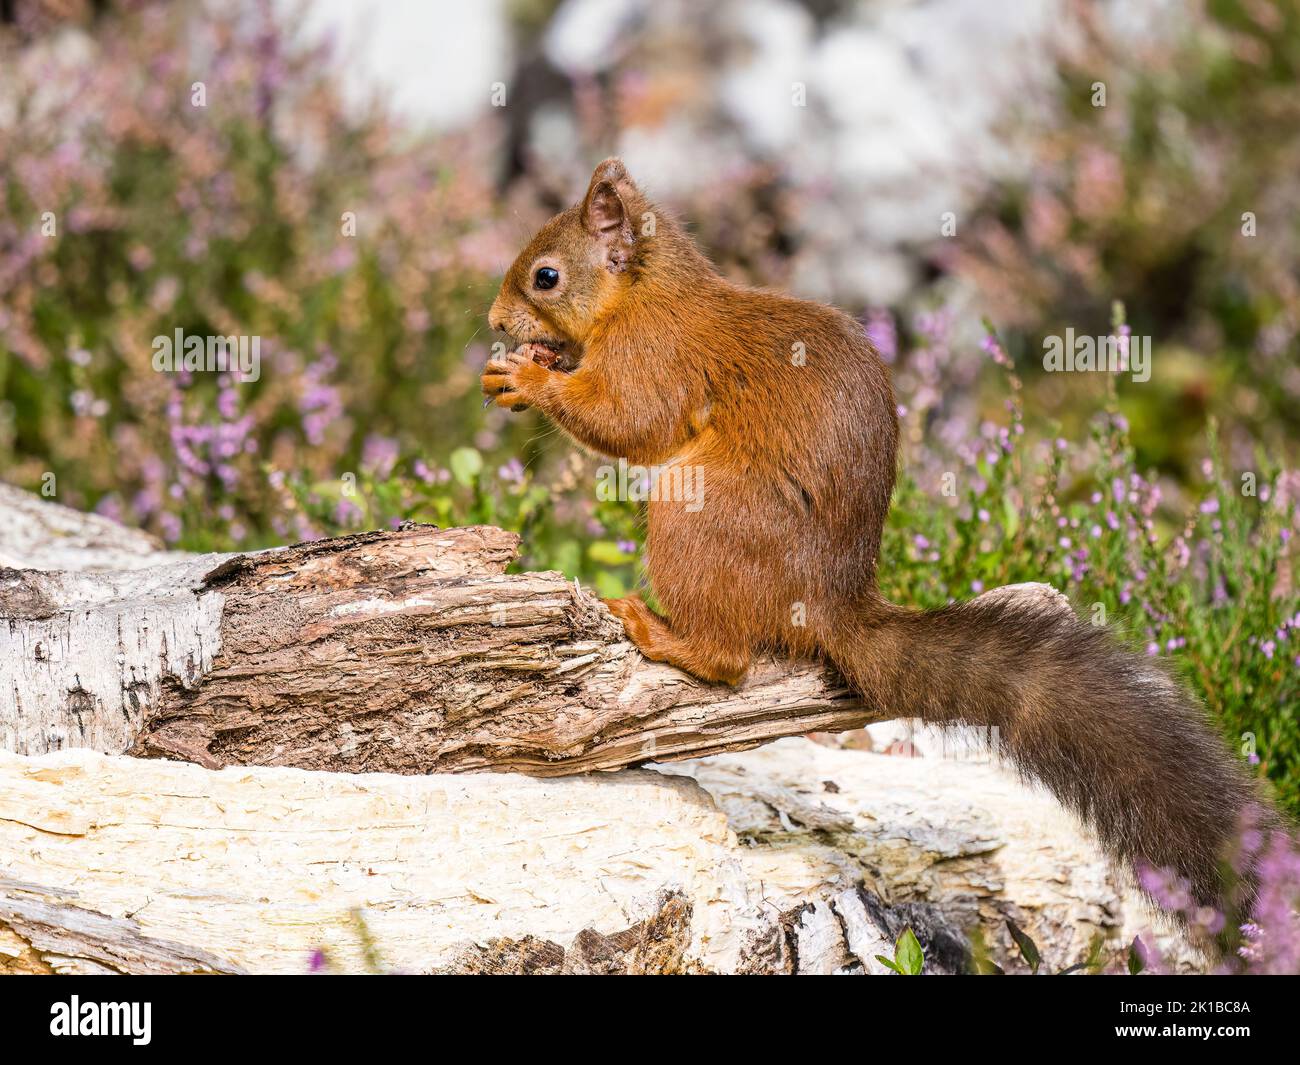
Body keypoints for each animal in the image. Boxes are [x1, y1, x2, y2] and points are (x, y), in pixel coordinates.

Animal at [485, 158, 1279, 914]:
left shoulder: (655, 354)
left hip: (701, 517)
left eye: (546, 275)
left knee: (728, 660)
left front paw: (531, 380)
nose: (493, 322)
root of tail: (828, 601)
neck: (645, 291)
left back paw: (658, 629)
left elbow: (628, 421)